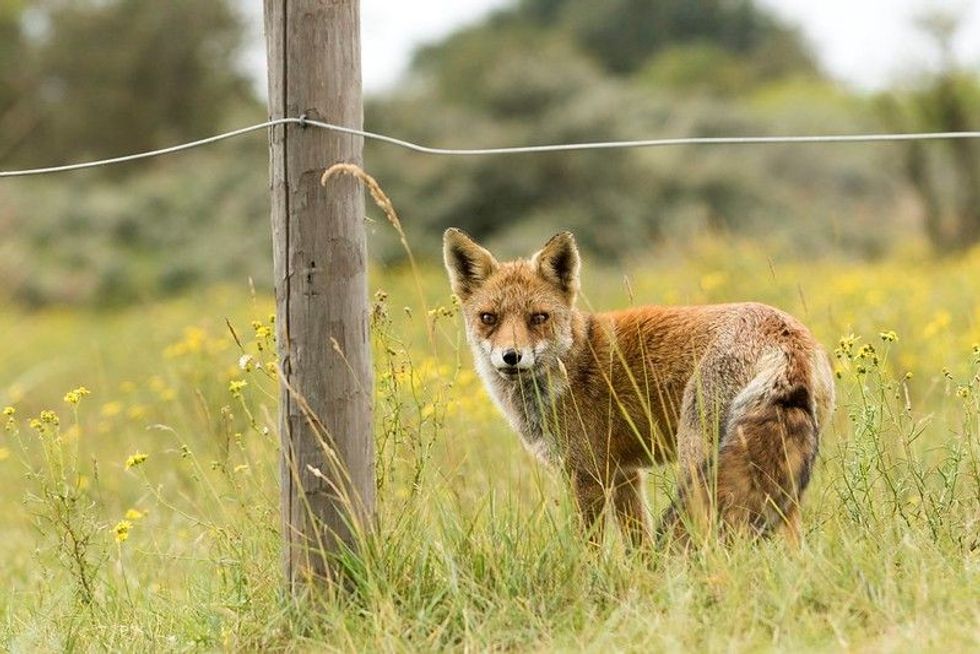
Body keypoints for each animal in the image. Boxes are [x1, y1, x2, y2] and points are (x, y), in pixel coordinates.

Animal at [443, 228, 836, 547]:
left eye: (538, 318)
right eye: (488, 318)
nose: (511, 357)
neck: (571, 365)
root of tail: (785, 335)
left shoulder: (588, 476)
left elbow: (589, 548)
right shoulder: (625, 475)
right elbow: (639, 547)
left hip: (695, 455)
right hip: (780, 478)